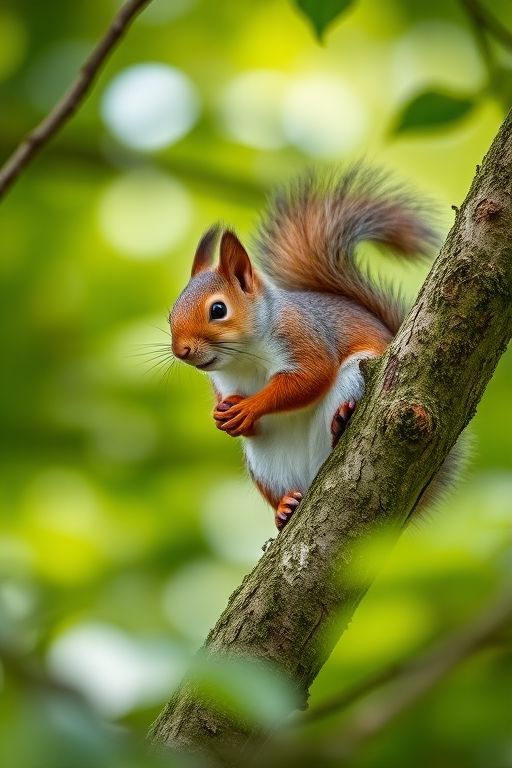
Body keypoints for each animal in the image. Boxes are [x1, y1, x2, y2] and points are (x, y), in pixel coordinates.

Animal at [169, 165, 444, 531]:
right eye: (171, 313)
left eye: (218, 309)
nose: (181, 351)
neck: (244, 359)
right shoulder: (224, 383)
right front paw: (221, 414)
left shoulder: (303, 336)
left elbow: (311, 376)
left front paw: (251, 407)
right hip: (266, 465)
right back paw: (285, 507)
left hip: (355, 378)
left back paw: (343, 422)